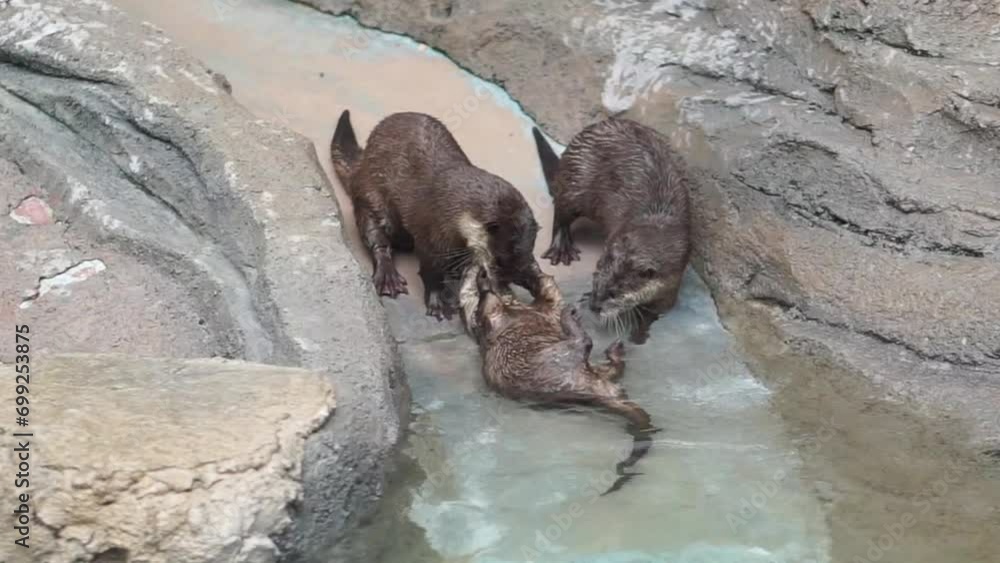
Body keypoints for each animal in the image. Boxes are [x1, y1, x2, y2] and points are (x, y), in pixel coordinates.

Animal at [331, 110, 543, 319]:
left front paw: (535, 276)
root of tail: (361, 164)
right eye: (498, 261)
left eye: (524, 259)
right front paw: (438, 301)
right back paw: (388, 276)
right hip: (371, 197)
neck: (452, 204)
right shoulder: (432, 232)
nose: (504, 284)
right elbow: (431, 271)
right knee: (376, 238)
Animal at [459, 265, 656, 494]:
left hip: (592, 370)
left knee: (612, 368)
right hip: (562, 355)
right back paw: (574, 318)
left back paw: (614, 349)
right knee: (584, 342)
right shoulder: (492, 317)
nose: (475, 268)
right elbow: (488, 303)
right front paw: (484, 279)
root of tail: (592, 390)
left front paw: (529, 272)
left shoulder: (541, 309)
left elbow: (548, 290)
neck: (516, 309)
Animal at [532, 118, 691, 344]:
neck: (658, 222)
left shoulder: (673, 280)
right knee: (562, 208)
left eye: (614, 293)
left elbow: (655, 311)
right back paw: (561, 246)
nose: (594, 306)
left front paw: (640, 333)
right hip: (577, 181)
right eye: (595, 281)